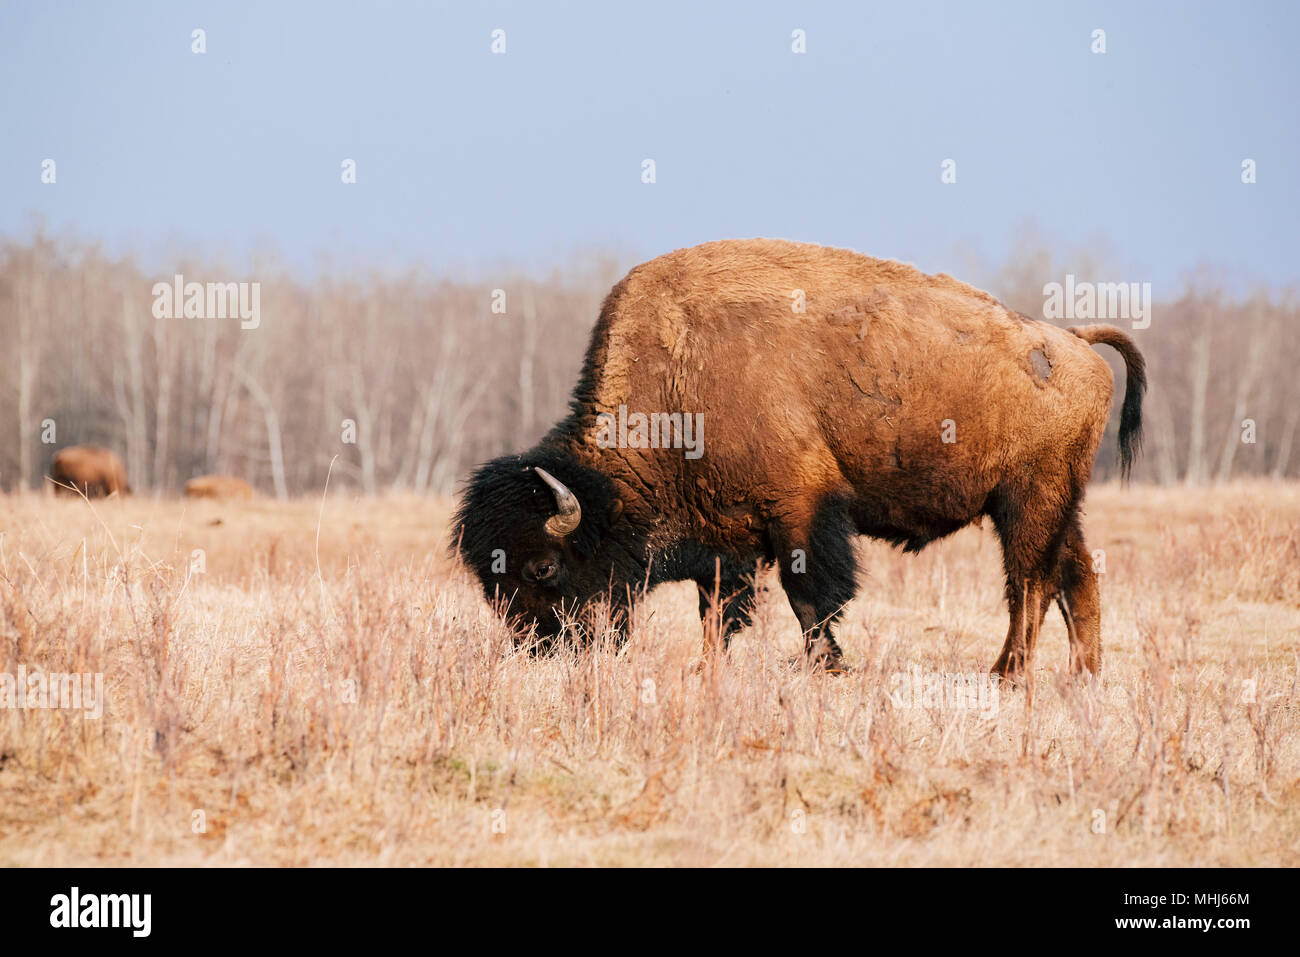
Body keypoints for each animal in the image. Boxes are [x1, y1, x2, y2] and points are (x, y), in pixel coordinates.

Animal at [455, 239, 1145, 681]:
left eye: (543, 567)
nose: (539, 651)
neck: (676, 385)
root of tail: (1070, 342)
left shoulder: (800, 511)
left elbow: (809, 594)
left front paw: (826, 666)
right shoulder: (725, 536)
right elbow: (721, 609)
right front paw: (708, 668)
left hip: (1026, 500)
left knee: (1030, 581)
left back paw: (1008, 674)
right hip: (1055, 504)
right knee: (1075, 575)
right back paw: (1081, 676)